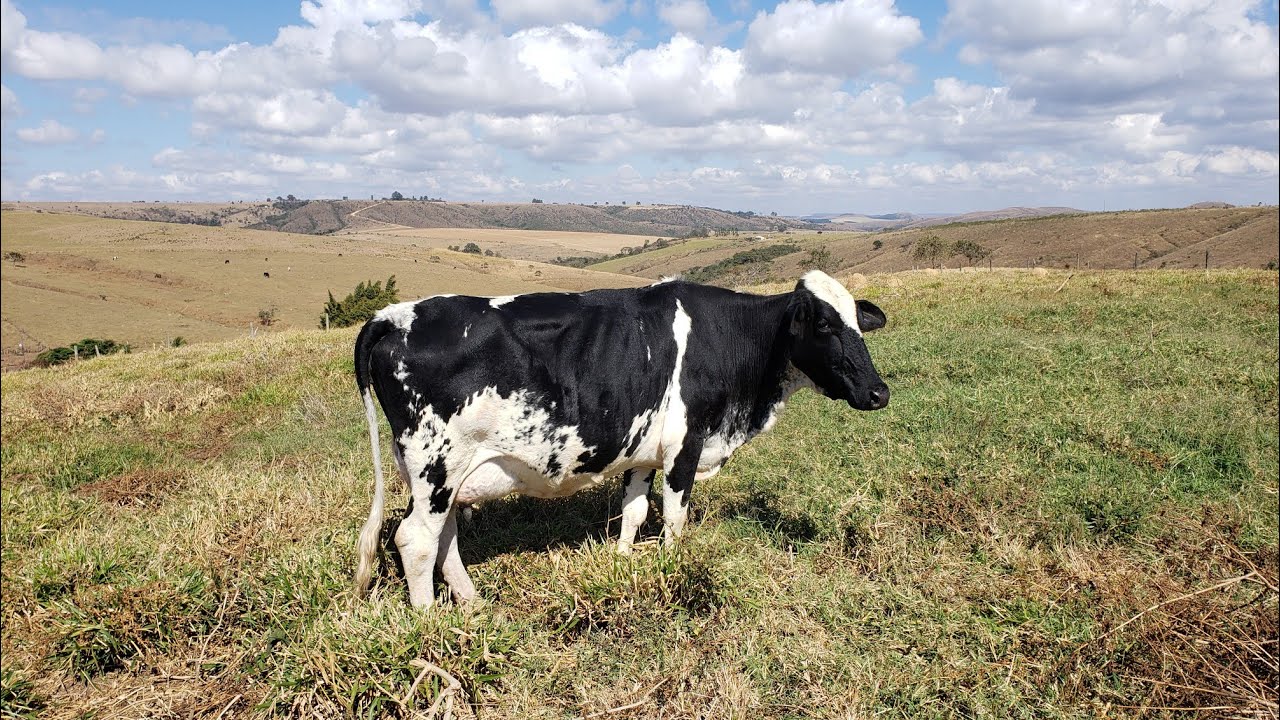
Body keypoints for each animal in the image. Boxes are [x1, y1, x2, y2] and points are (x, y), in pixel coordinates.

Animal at [353, 270, 890, 608]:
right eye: (824, 324)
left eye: (859, 324)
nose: (879, 392)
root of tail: (394, 315)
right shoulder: (685, 446)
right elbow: (674, 519)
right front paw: (672, 568)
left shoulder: (643, 452)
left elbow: (633, 511)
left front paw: (624, 563)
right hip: (435, 464)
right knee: (416, 539)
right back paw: (430, 622)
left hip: (447, 476)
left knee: (443, 537)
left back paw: (474, 603)